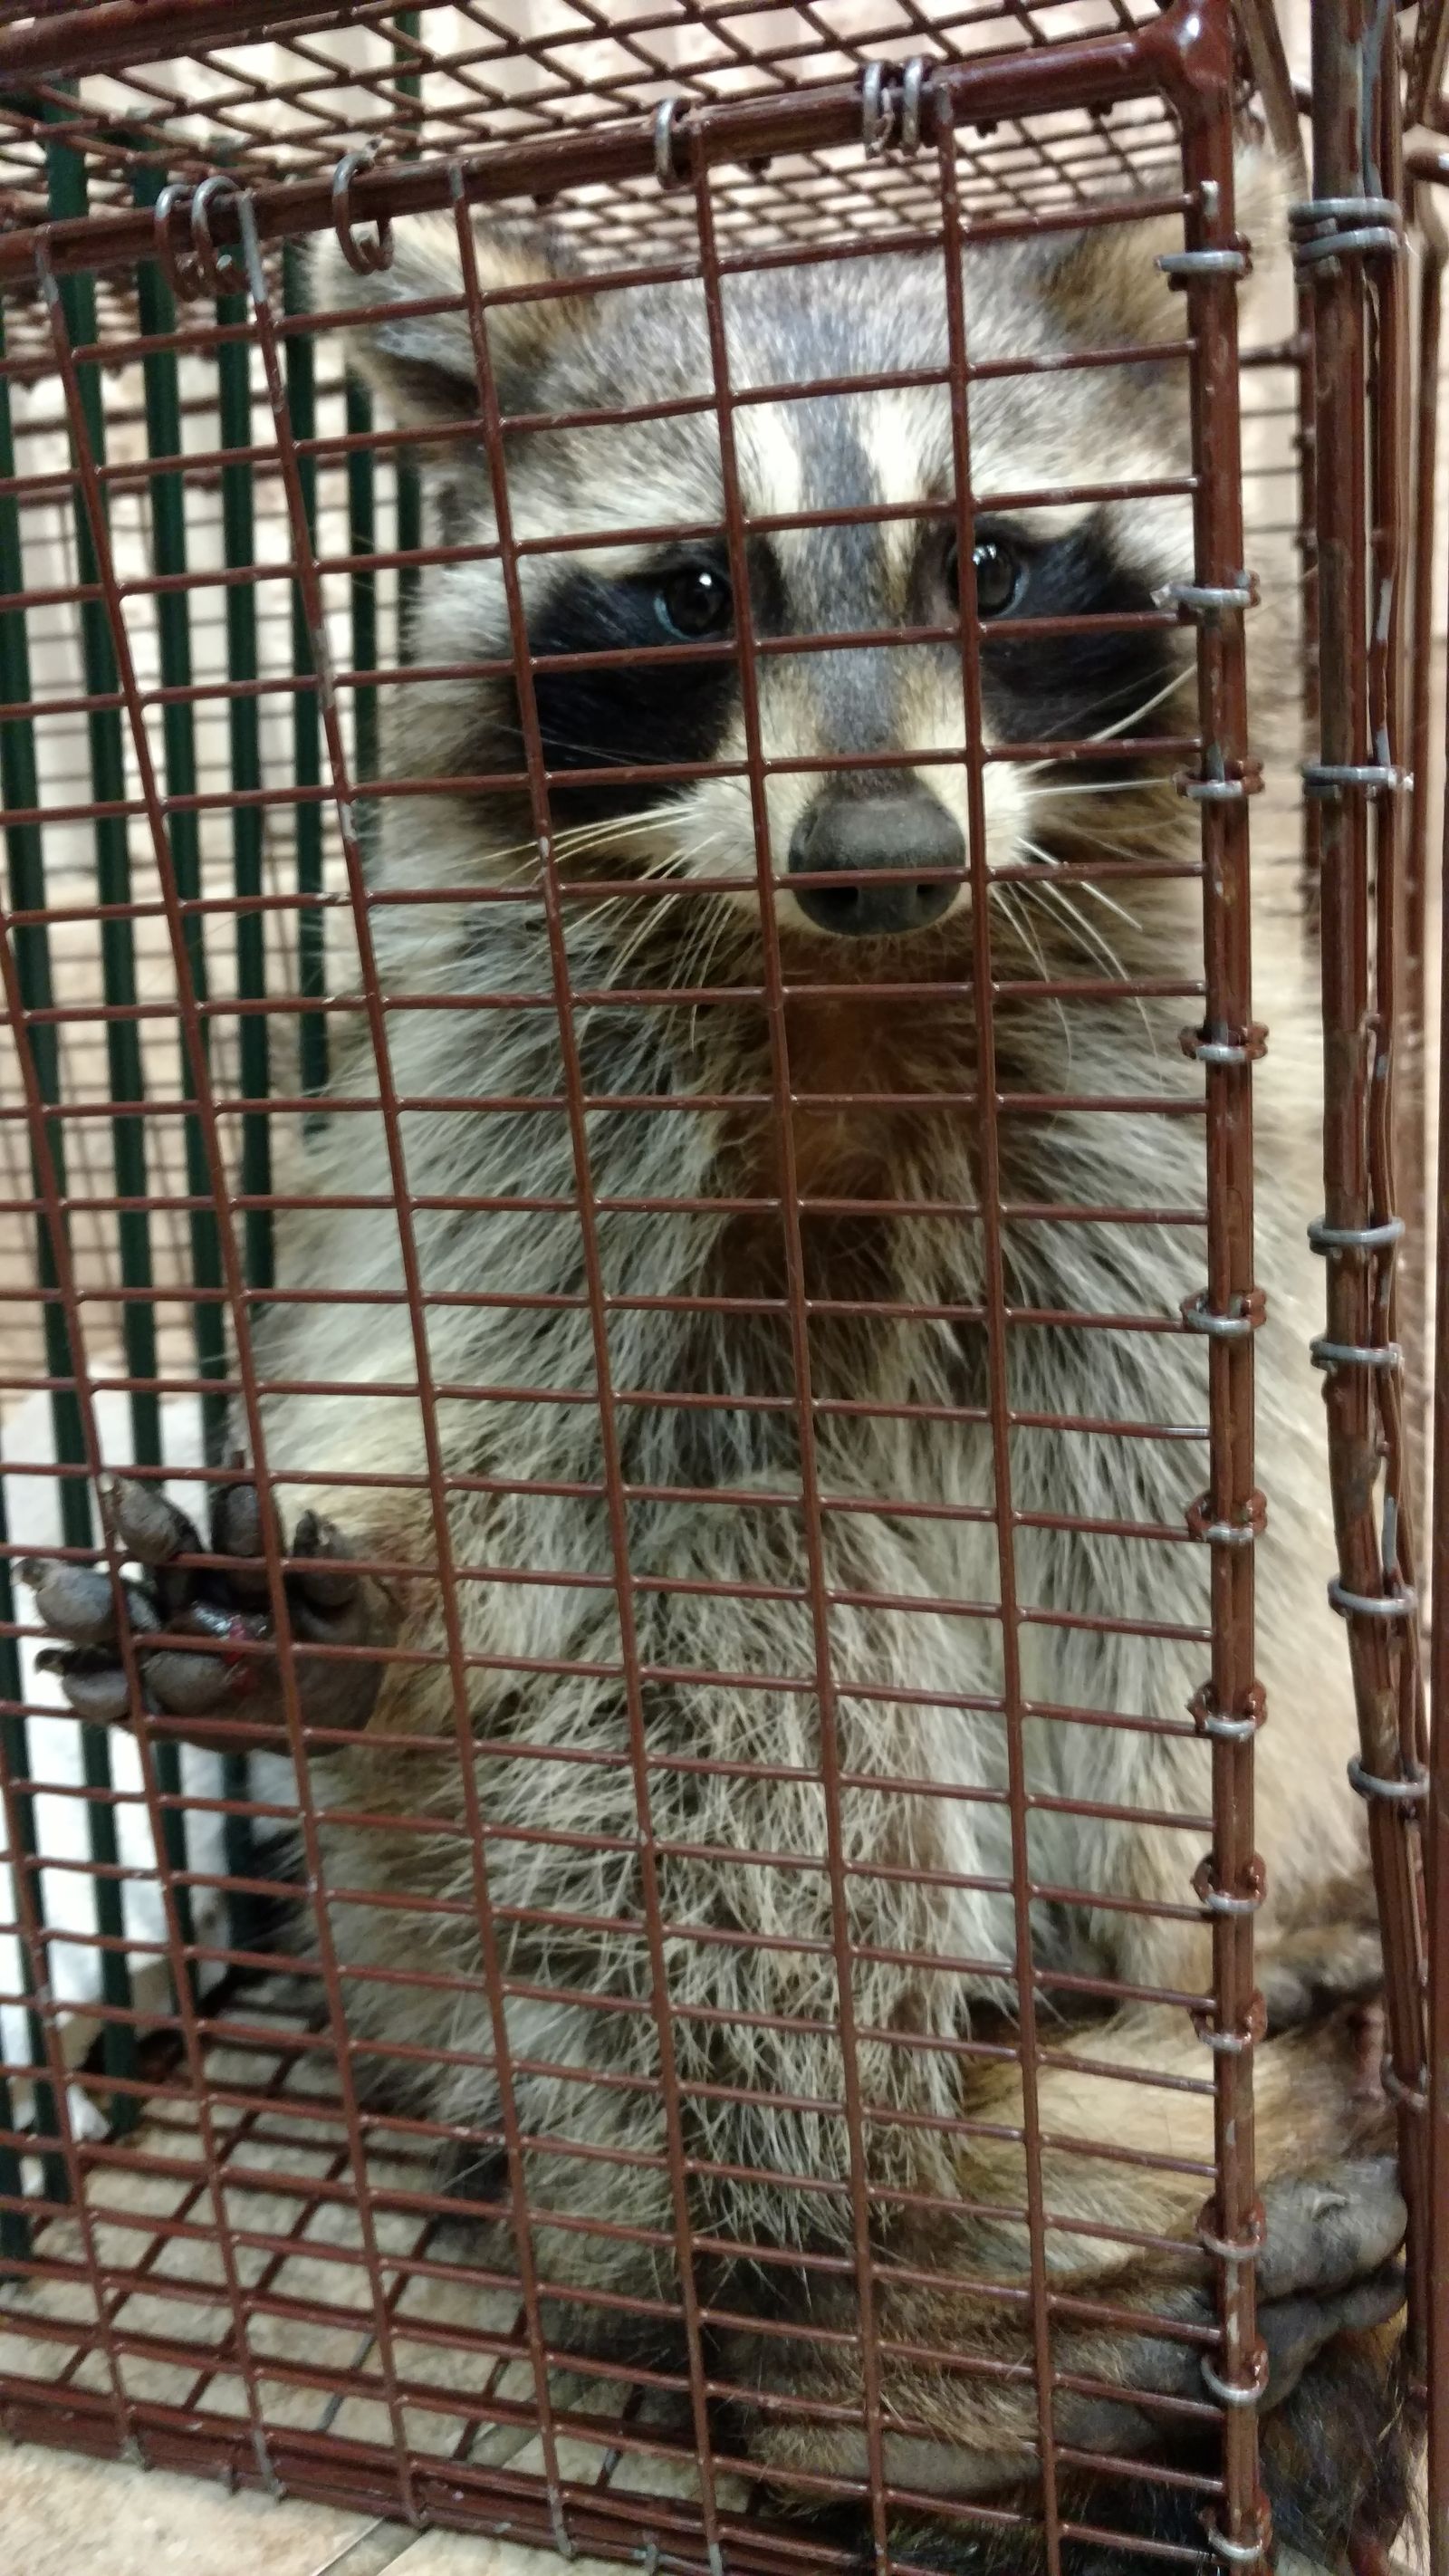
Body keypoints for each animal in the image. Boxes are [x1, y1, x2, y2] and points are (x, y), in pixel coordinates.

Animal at [23, 148, 1419, 2569]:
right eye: (693, 588)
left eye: (990, 561)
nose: (880, 851)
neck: (843, 977)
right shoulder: (522, 1074)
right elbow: (478, 1419)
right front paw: (368, 1601)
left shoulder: (1156, 1090)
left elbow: (1186, 1503)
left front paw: (1238, 1896)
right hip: (454, 1907)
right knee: (705, 1674)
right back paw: (827, 2301)